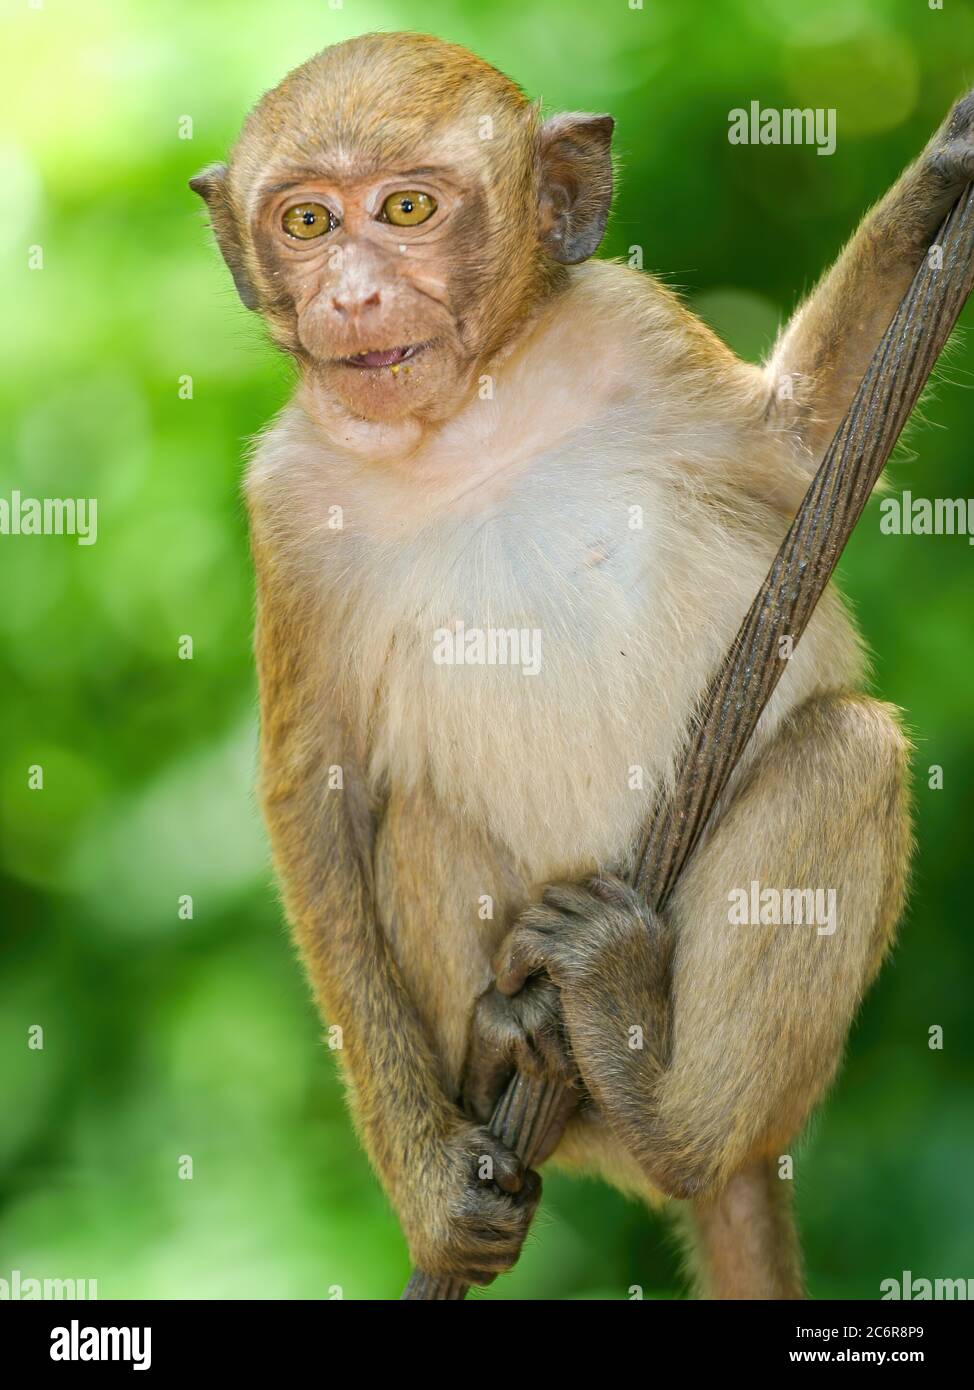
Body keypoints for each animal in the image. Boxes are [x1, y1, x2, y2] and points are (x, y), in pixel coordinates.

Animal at [190, 32, 974, 1297]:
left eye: (406, 208)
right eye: (305, 221)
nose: (349, 298)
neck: (466, 417)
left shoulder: (633, 325)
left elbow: (803, 437)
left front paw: (941, 177)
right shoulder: (287, 506)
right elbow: (318, 791)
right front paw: (428, 1190)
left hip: (770, 1075)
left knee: (844, 751)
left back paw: (662, 1102)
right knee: (412, 815)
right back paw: (508, 1048)